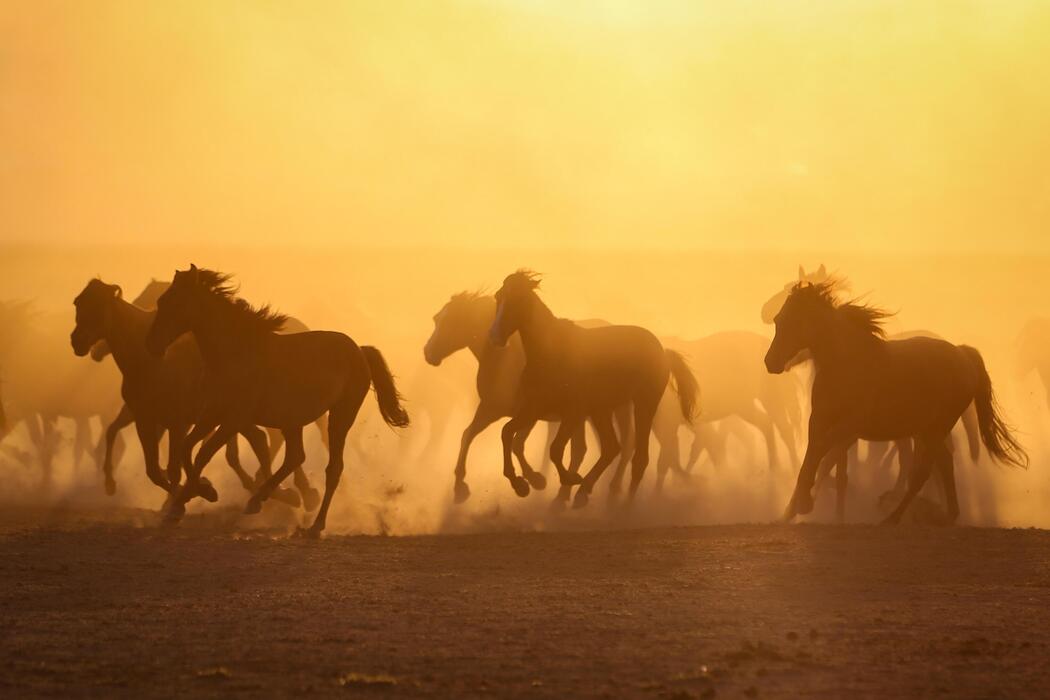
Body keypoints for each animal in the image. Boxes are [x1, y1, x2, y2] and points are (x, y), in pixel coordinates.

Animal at [145, 265, 409, 537]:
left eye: (175, 302)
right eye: (162, 300)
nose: (152, 345)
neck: (234, 353)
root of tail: (359, 350)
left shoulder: (233, 419)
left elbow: (203, 453)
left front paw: (196, 496)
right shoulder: (211, 414)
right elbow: (187, 448)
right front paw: (190, 499)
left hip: (341, 416)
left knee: (332, 468)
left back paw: (314, 525)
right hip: (293, 420)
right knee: (295, 456)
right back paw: (259, 500)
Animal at [424, 292, 631, 505]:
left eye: (452, 321)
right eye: (436, 319)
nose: (428, 353)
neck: (505, 360)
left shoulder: (529, 413)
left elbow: (516, 443)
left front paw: (532, 480)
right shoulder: (491, 409)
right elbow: (469, 434)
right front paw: (460, 486)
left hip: (614, 410)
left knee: (621, 446)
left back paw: (608, 489)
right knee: (592, 448)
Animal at [488, 270, 699, 508]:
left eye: (518, 300)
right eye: (498, 296)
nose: (495, 337)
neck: (550, 352)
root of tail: (663, 351)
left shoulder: (573, 413)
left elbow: (557, 449)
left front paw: (567, 479)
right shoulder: (534, 408)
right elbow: (508, 433)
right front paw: (523, 484)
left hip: (643, 405)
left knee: (638, 458)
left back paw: (621, 506)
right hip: (602, 410)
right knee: (612, 447)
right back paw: (584, 492)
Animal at [765, 280, 1027, 525]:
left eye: (795, 321)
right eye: (779, 319)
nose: (770, 362)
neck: (846, 363)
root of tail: (963, 354)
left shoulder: (850, 426)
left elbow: (821, 454)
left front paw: (804, 504)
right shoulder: (819, 419)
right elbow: (812, 455)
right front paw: (791, 510)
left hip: (936, 428)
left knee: (925, 470)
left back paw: (894, 517)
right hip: (927, 431)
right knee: (943, 463)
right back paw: (947, 515)